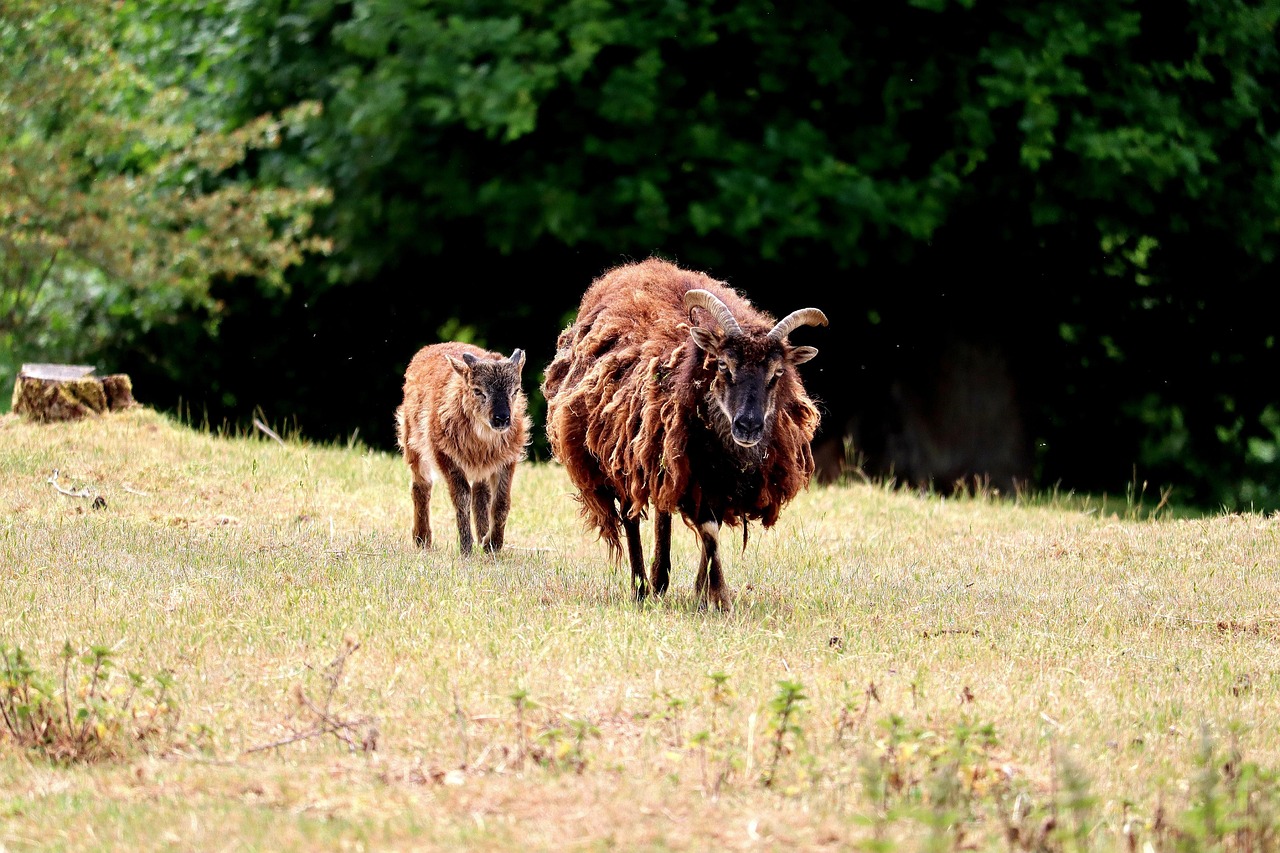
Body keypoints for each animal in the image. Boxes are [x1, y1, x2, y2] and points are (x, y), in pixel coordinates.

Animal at [396, 343, 529, 554]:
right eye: (477, 390)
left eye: (516, 390)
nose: (501, 418)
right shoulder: (443, 453)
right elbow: (461, 497)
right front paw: (466, 548)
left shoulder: (507, 458)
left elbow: (501, 501)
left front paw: (491, 545)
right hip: (411, 441)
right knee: (421, 485)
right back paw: (422, 540)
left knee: (481, 494)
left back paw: (482, 536)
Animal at [543, 258, 827, 609]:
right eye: (722, 365)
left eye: (777, 373)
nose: (748, 425)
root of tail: (637, 266)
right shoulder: (695, 471)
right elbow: (708, 529)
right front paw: (719, 597)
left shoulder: (714, 479)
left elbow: (710, 528)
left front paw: (703, 592)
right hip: (621, 456)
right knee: (630, 517)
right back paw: (641, 588)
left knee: (662, 512)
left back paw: (659, 580)